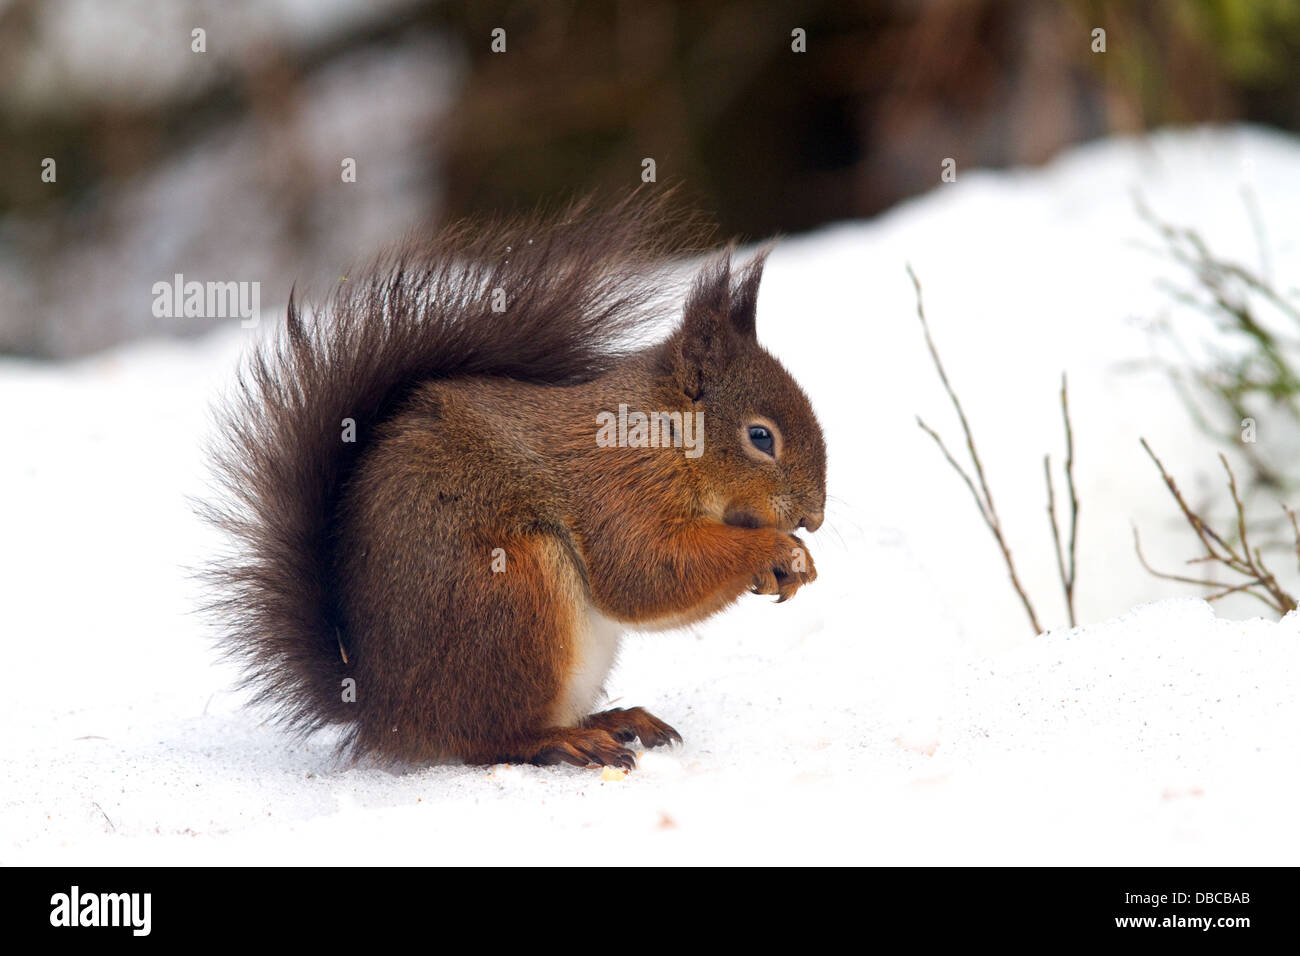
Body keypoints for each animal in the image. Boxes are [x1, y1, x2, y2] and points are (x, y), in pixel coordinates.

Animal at [203, 192, 827, 770]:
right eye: (761, 437)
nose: (812, 519)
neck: (665, 437)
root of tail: (386, 711)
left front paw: (793, 564)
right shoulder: (621, 491)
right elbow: (645, 571)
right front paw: (774, 550)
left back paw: (616, 719)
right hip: (513, 596)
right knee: (489, 738)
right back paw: (566, 741)